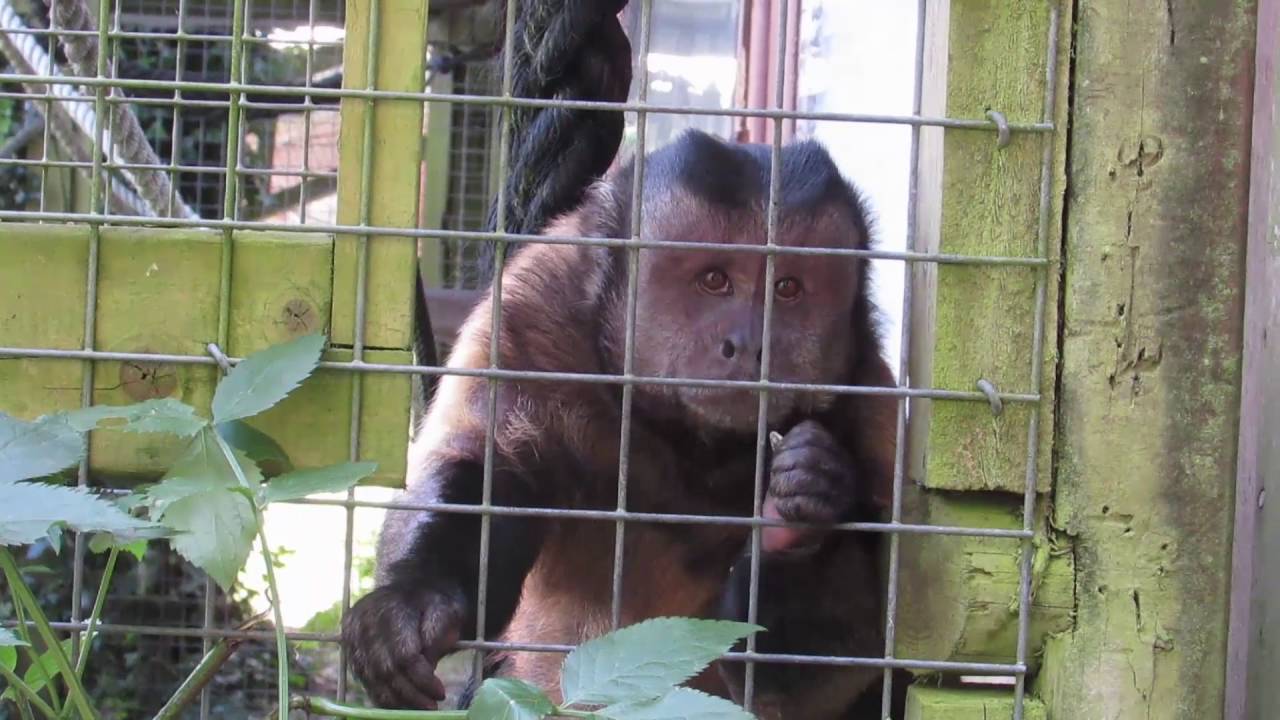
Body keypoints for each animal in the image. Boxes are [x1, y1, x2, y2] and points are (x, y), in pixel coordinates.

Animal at [342, 129, 901, 719]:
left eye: (788, 289)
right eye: (715, 280)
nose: (751, 345)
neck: (685, 438)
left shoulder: (868, 398)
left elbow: (819, 675)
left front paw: (800, 512)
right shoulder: (530, 316)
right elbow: (483, 467)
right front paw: (410, 602)